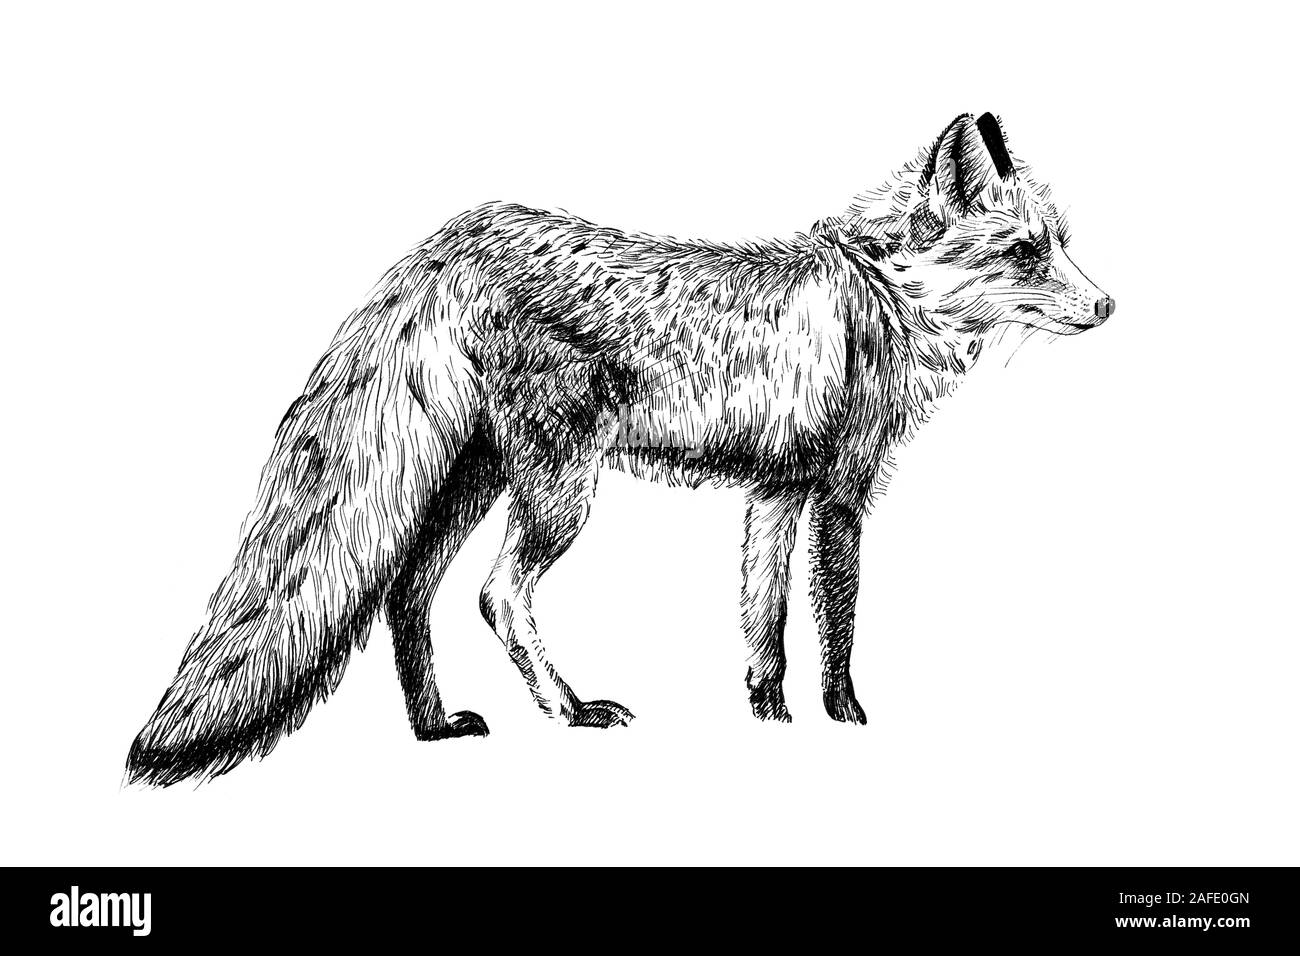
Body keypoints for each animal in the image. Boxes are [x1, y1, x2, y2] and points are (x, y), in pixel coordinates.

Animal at [127, 112, 1114, 785]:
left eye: (1063, 245)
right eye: (1027, 254)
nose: (1107, 305)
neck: (879, 292)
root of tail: (451, 239)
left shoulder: (775, 492)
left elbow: (764, 626)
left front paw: (771, 721)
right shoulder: (841, 491)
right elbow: (836, 625)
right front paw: (846, 720)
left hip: (473, 483)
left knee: (409, 594)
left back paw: (434, 727)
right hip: (560, 494)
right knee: (495, 595)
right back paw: (569, 711)